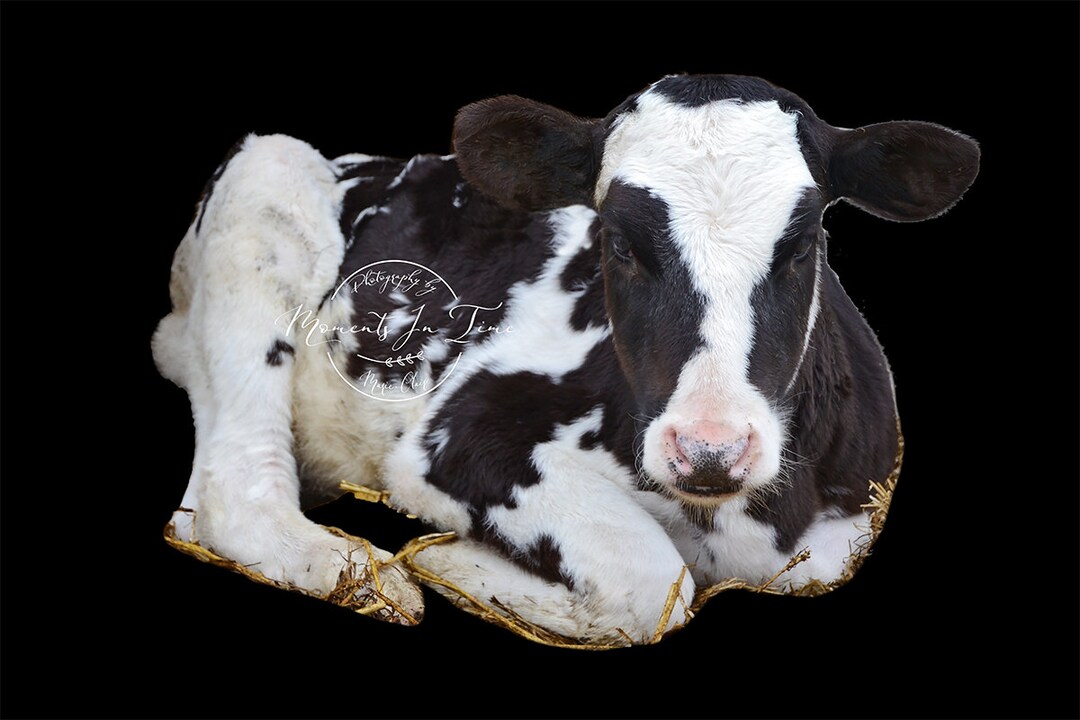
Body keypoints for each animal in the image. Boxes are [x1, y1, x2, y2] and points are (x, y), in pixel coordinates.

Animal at [153, 74, 979, 647]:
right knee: (231, 494)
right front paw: (451, 564)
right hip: (267, 176)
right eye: (619, 242)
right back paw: (366, 575)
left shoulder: (853, 511)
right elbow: (654, 581)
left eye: (803, 243)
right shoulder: (462, 432)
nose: (710, 447)